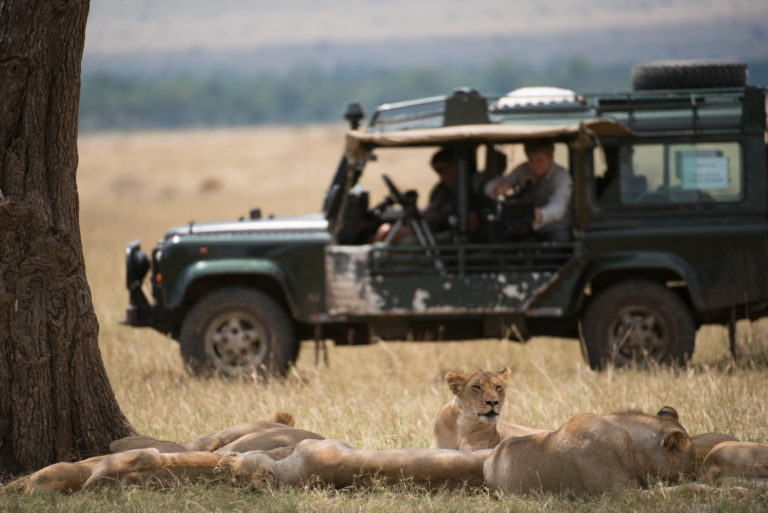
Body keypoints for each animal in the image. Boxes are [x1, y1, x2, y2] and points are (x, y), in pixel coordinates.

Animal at [483, 406, 695, 496]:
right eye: (691, 462)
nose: (697, 471)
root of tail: (489, 457)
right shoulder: (620, 495)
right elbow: (677, 489)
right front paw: (700, 487)